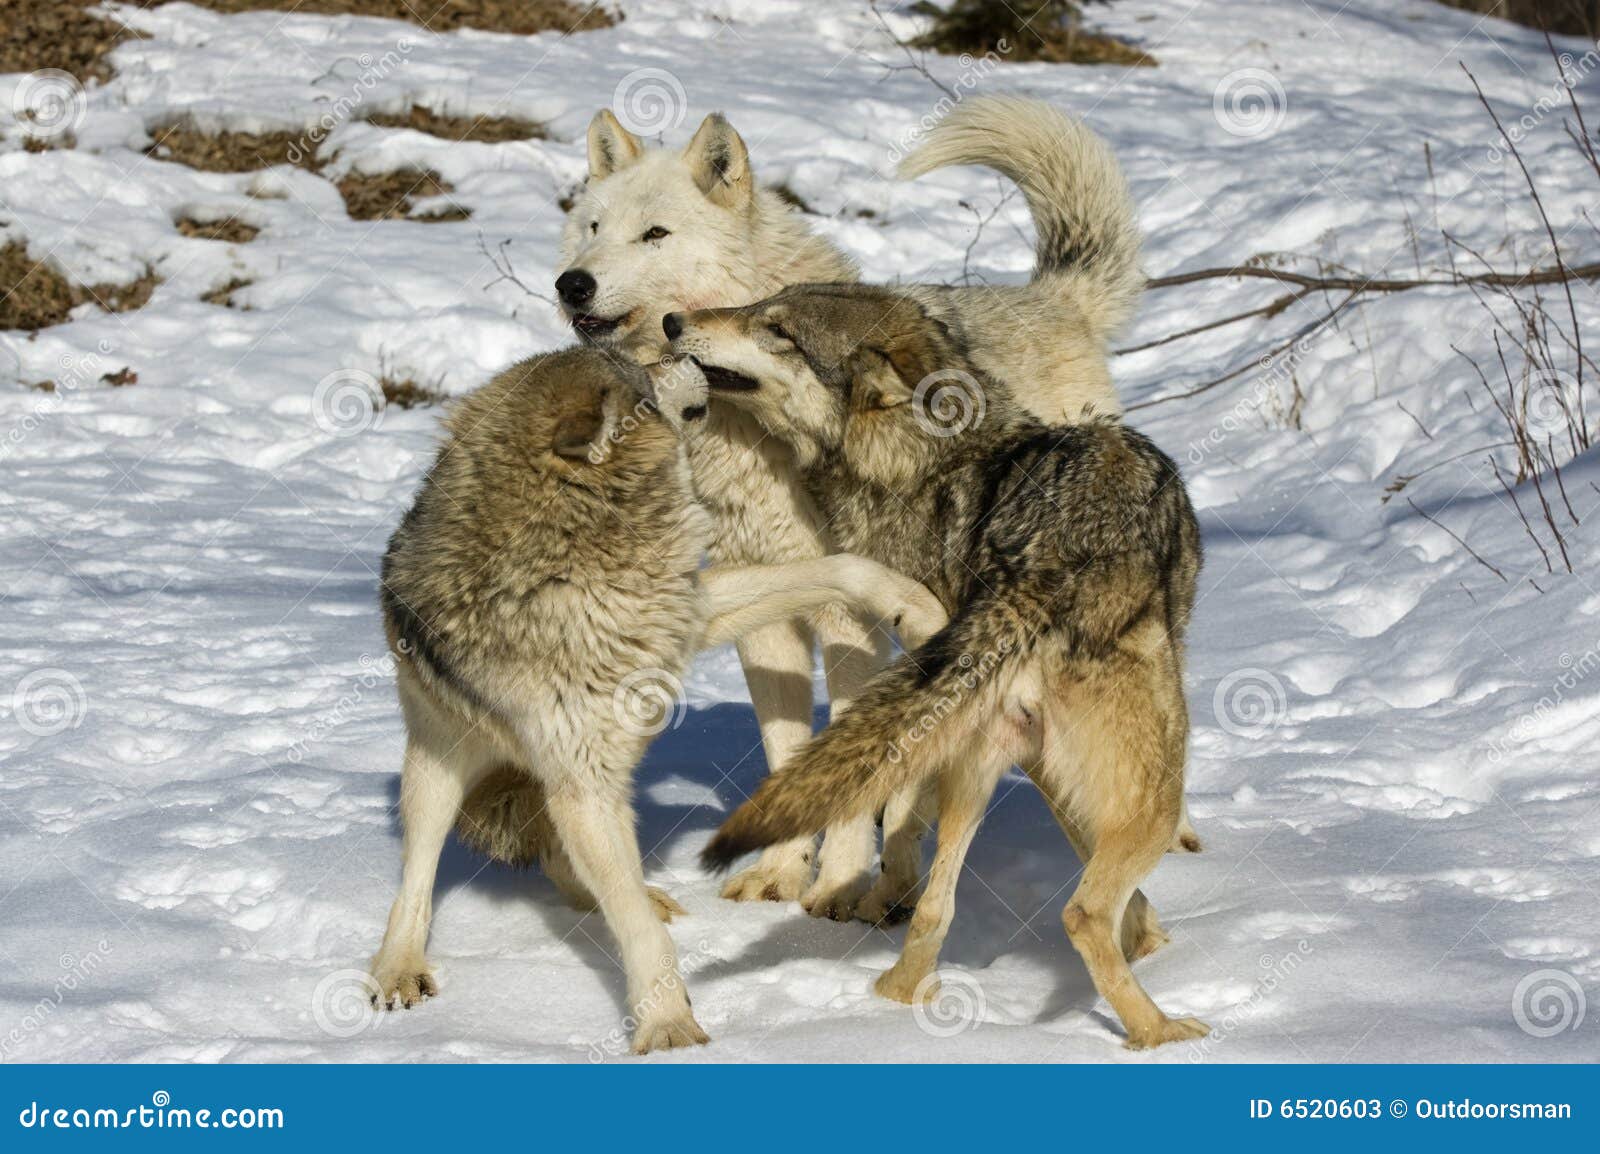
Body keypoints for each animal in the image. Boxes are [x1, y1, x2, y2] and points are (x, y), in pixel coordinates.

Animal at [368, 347, 946, 1054]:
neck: (578, 549)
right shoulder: (584, 782)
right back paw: (398, 969)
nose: (689, 349)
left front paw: (914, 605)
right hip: (439, 767)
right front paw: (668, 1026)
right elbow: (638, 932)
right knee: (418, 880)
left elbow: (829, 570)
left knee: (562, 859)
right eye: (637, 372)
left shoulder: (684, 609)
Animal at [669, 286, 1209, 1049]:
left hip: (986, 756)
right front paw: (1153, 939)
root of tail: (1042, 567)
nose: (672, 322)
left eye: (776, 326)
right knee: (1080, 913)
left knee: (936, 911)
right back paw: (1162, 1029)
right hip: (1145, 788)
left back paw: (896, 994)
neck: (921, 463)